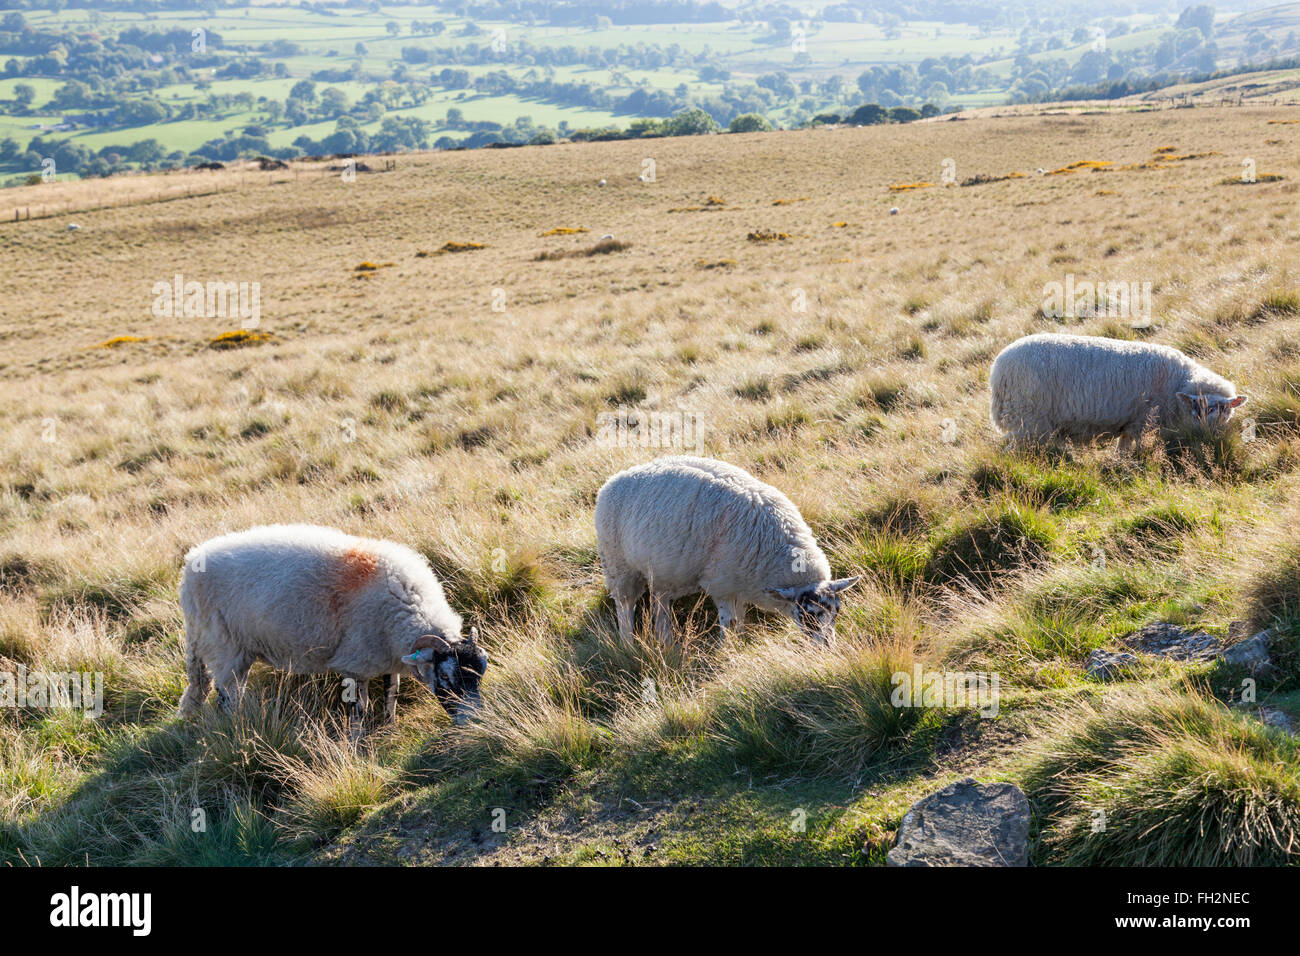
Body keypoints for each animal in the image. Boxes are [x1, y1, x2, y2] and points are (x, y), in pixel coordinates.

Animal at [177, 524, 488, 734]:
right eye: (445, 678)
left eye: (480, 675)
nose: (474, 722)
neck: (406, 604)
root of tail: (190, 566)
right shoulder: (355, 663)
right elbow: (359, 710)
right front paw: (356, 743)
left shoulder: (385, 657)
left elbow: (392, 692)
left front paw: (389, 726)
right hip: (223, 646)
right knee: (225, 696)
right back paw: (235, 728)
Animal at [594, 456, 858, 644]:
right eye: (808, 616)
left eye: (836, 612)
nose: (827, 649)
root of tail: (611, 481)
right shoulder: (721, 584)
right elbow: (729, 622)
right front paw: (729, 650)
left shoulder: (738, 584)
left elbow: (739, 621)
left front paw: (739, 644)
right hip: (619, 566)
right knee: (625, 607)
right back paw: (628, 643)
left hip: (661, 571)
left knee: (660, 604)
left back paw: (666, 641)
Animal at [989, 332, 1247, 452]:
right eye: (1197, 406)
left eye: (1223, 409)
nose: (1205, 429)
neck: (1178, 382)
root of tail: (997, 370)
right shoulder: (1142, 421)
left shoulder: (1130, 422)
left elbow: (1122, 447)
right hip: (1029, 420)